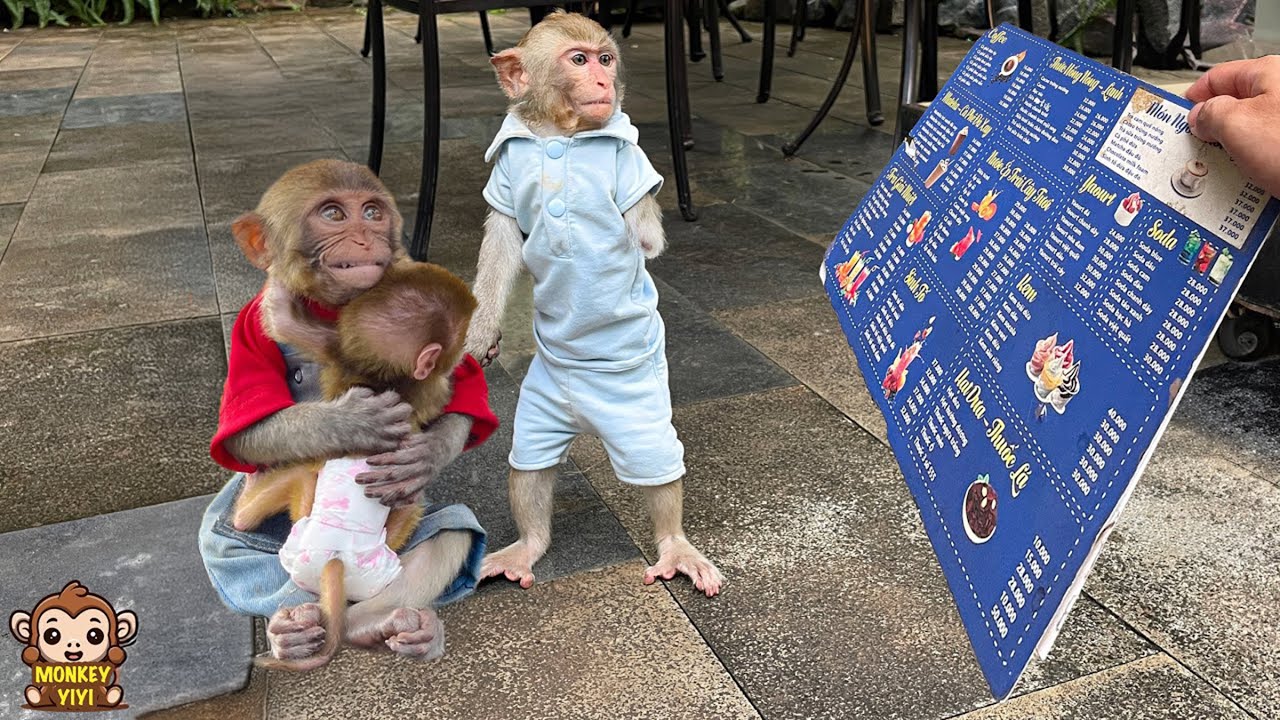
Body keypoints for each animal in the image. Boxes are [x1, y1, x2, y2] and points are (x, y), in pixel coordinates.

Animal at [228, 261, 479, 671]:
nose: (463, 350)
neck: (381, 380)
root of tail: (336, 559)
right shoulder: (428, 385)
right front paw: (355, 422)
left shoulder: (341, 355)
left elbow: (290, 325)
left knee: (447, 526)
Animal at [464, 11, 724, 598]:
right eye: (579, 60)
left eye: (605, 58)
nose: (605, 81)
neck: (560, 137)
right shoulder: (506, 174)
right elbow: (503, 244)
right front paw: (481, 331)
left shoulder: (632, 166)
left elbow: (642, 220)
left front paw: (641, 228)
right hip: (543, 403)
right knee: (530, 462)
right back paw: (527, 545)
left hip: (637, 407)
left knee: (654, 460)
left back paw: (675, 547)